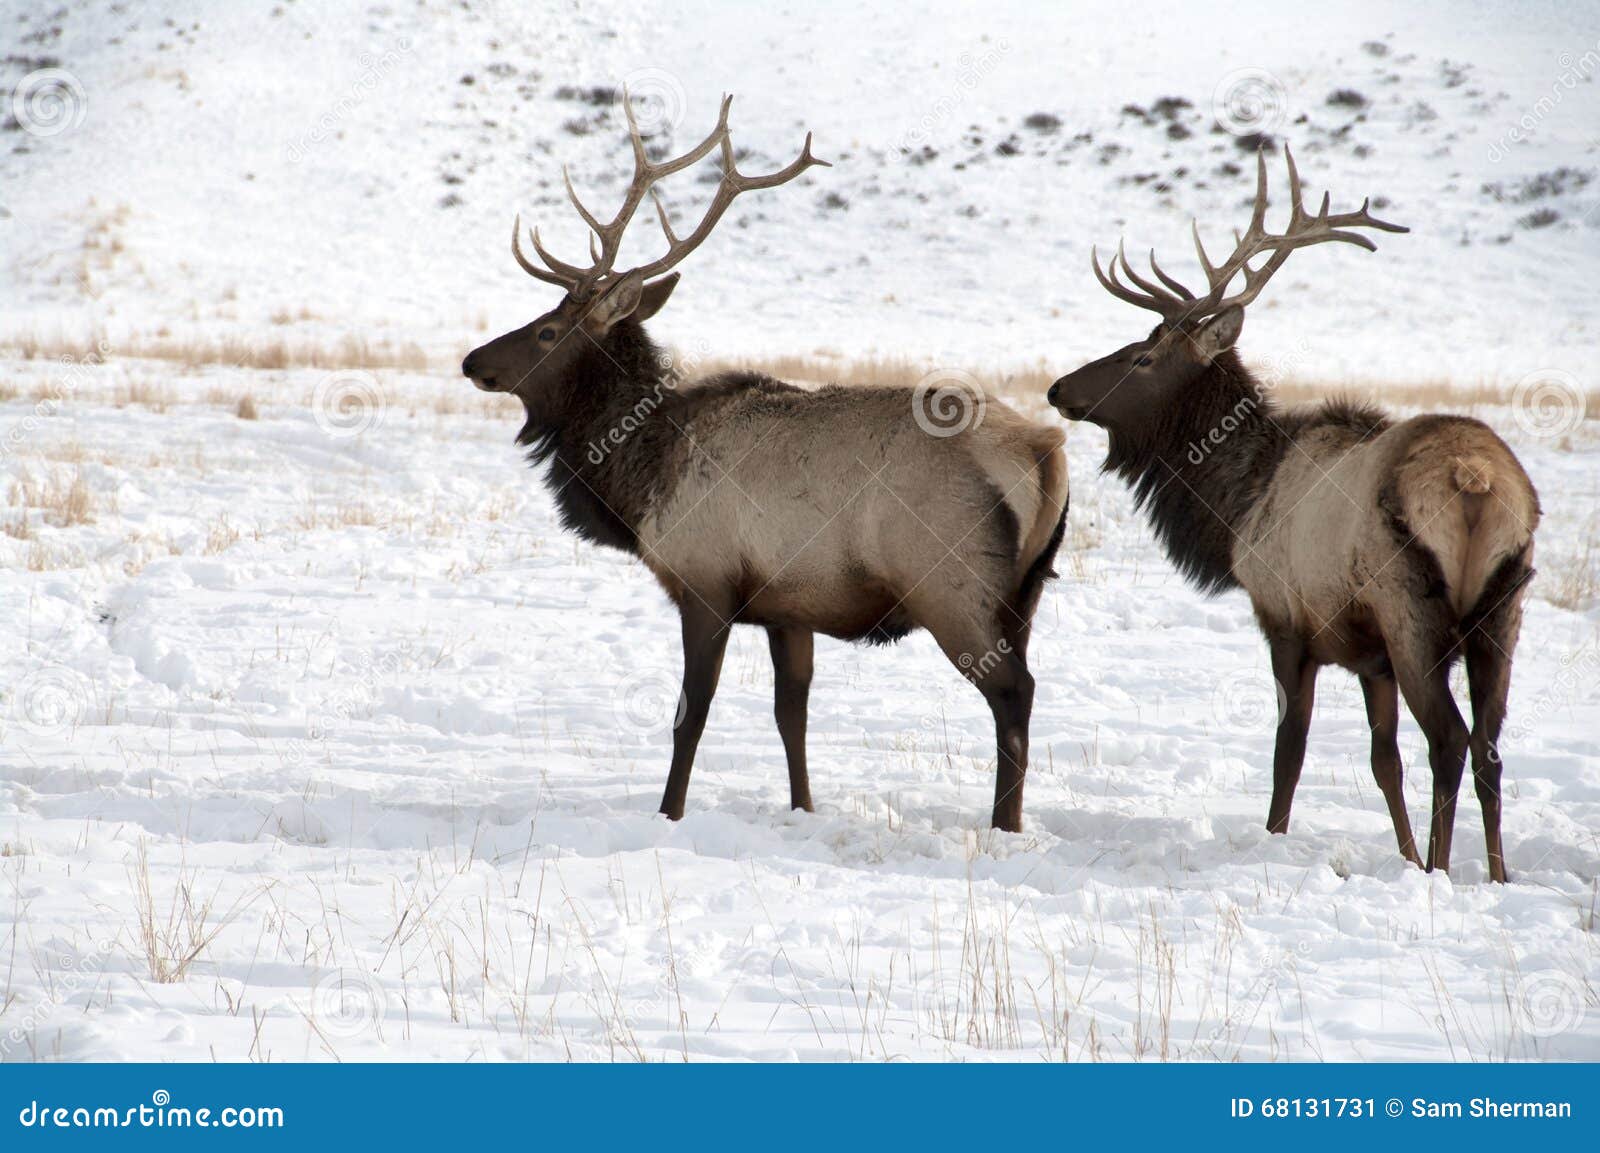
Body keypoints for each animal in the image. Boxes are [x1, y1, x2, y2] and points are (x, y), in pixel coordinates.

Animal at [462, 96, 1069, 831]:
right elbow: (791, 715)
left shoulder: (706, 580)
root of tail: (1044, 449)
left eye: (547, 331)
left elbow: (691, 713)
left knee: (1014, 692)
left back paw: (1003, 826)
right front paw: (803, 807)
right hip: (1025, 595)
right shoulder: (790, 603)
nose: (472, 361)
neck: (642, 473)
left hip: (950, 584)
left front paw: (670, 812)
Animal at [1047, 146, 1539, 881]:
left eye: (1142, 357)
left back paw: (1440, 871)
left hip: (1411, 610)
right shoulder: (1372, 658)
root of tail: (1475, 481)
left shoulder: (1285, 620)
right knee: (1488, 750)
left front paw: (1277, 837)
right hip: (1502, 614)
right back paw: (1497, 875)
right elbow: (1383, 762)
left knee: (1450, 741)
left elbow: (1291, 748)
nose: (1058, 389)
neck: (1238, 502)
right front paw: (1401, 851)